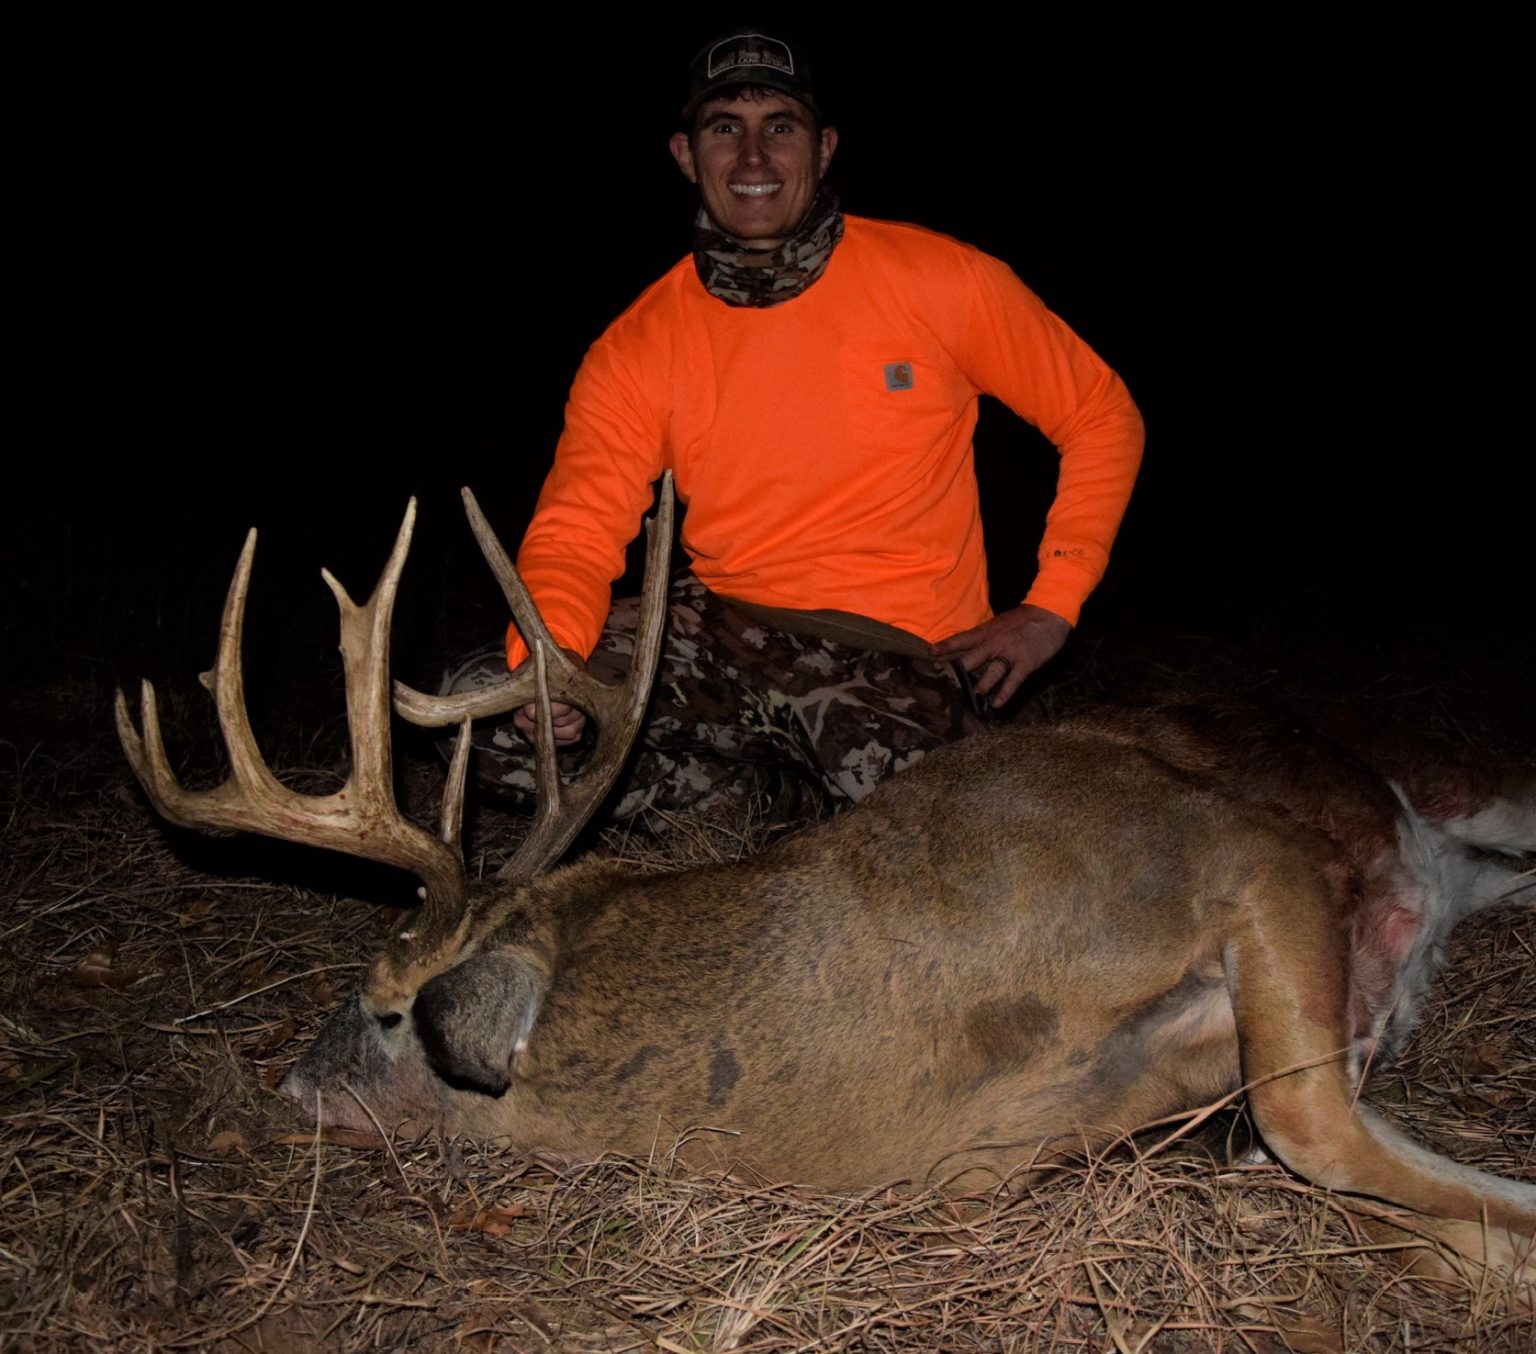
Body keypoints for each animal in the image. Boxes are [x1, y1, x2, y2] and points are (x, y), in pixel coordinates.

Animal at [116, 475, 1536, 1298]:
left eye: (386, 1004)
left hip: (1455, 785)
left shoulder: (1236, 846)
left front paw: (1508, 1245)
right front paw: (1486, 1248)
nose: (290, 1084)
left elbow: (1312, 1127)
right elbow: (1318, 1148)